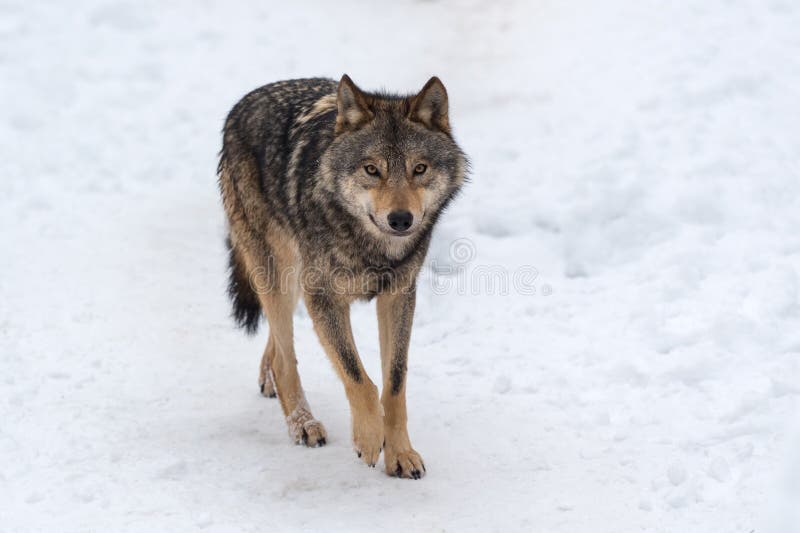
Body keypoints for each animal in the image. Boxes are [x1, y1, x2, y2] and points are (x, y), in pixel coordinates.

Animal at [217, 75, 466, 478]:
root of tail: (244, 103)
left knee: (277, 347)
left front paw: (400, 454)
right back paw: (303, 424)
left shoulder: (399, 295)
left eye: (419, 168)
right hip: (279, 271)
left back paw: (269, 383)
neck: (372, 248)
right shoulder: (324, 297)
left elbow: (394, 384)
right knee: (285, 359)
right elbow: (359, 378)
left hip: (291, 280)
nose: (401, 219)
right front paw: (369, 438)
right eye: (372, 170)